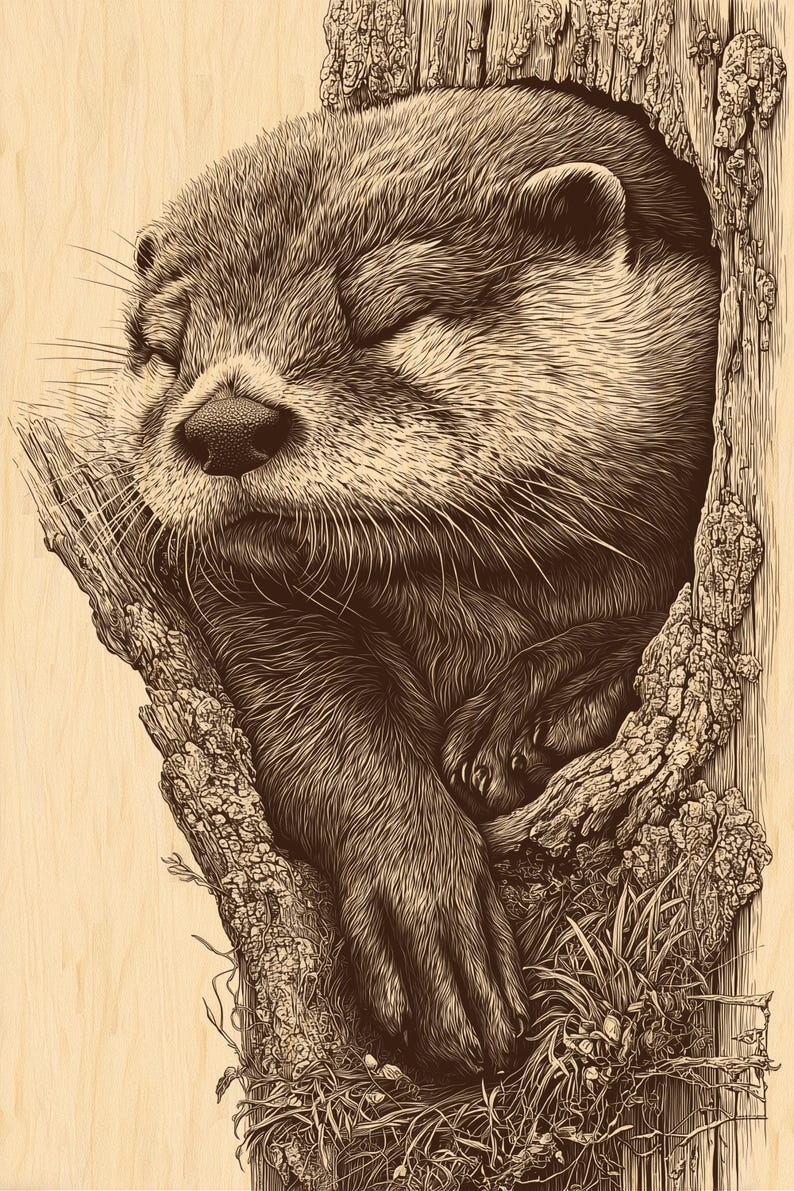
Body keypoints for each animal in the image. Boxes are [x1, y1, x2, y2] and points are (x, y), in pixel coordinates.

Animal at [111, 83, 720, 1075]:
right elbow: (320, 718)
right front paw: (423, 913)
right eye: (167, 348)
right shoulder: (252, 606)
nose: (227, 423)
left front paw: (548, 695)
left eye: (387, 318)